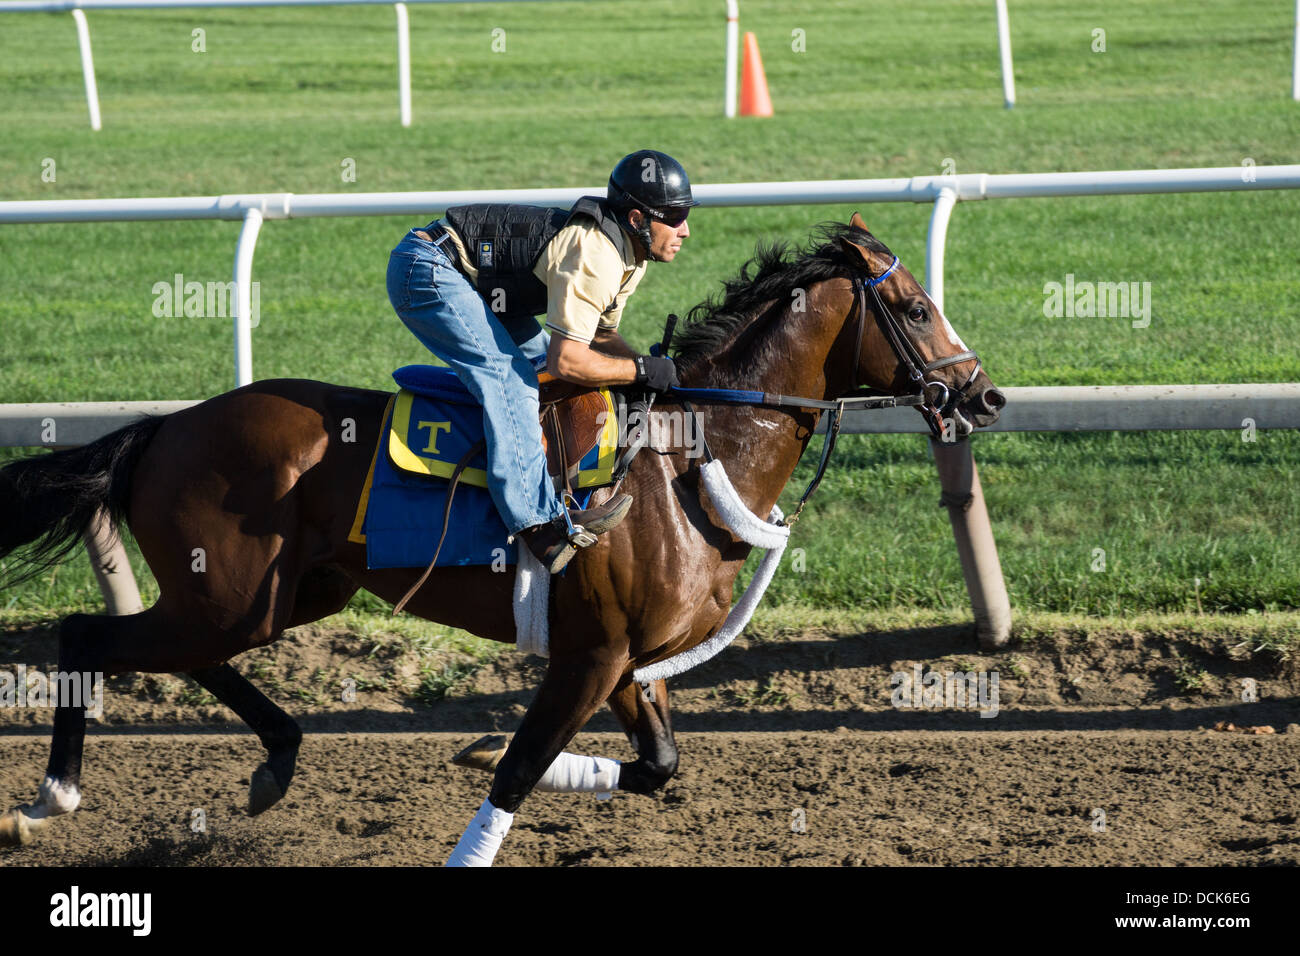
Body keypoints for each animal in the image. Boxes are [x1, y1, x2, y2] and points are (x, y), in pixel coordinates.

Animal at [0, 214, 1004, 862]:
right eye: (916, 309)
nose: (984, 394)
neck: (689, 454)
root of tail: (162, 428)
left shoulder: (627, 660)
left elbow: (656, 766)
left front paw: (482, 749)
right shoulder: (590, 655)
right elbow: (522, 771)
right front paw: (488, 786)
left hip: (278, 595)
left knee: (182, 653)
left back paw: (276, 760)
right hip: (235, 595)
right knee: (85, 635)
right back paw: (52, 796)